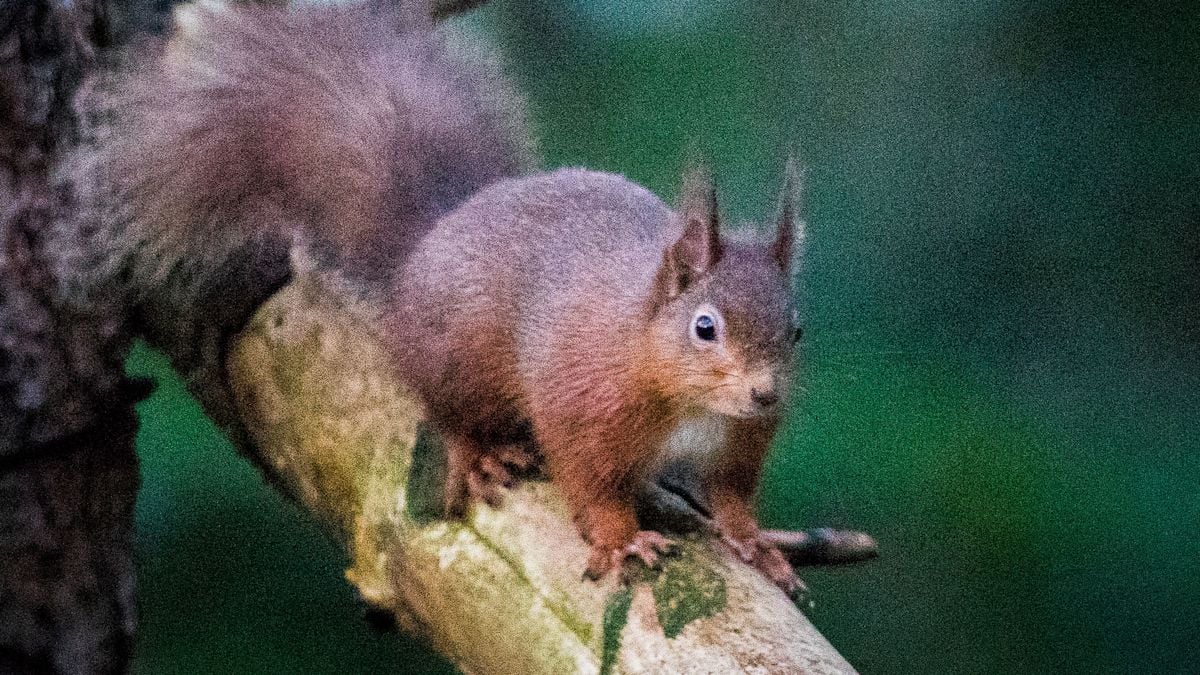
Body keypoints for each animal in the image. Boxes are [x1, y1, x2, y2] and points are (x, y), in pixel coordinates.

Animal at [91, 0, 805, 594]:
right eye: (705, 327)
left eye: (796, 329)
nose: (765, 393)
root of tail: (424, 248)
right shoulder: (583, 405)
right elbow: (592, 486)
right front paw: (621, 541)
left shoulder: (738, 446)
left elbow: (732, 498)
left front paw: (758, 543)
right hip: (457, 364)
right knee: (450, 414)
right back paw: (481, 456)